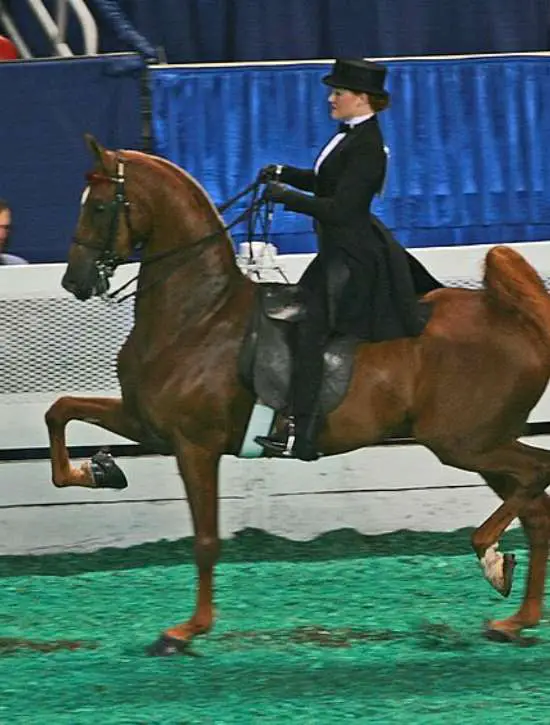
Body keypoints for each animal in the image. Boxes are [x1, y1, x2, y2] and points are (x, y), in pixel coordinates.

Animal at [46, 134, 550, 655]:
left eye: (99, 206)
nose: (74, 281)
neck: (199, 316)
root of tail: (515, 318)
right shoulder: (146, 423)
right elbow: (59, 412)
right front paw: (99, 470)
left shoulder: (194, 445)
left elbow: (205, 540)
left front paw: (186, 631)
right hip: (481, 445)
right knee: (538, 511)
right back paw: (515, 618)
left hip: (464, 444)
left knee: (539, 472)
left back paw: (490, 556)